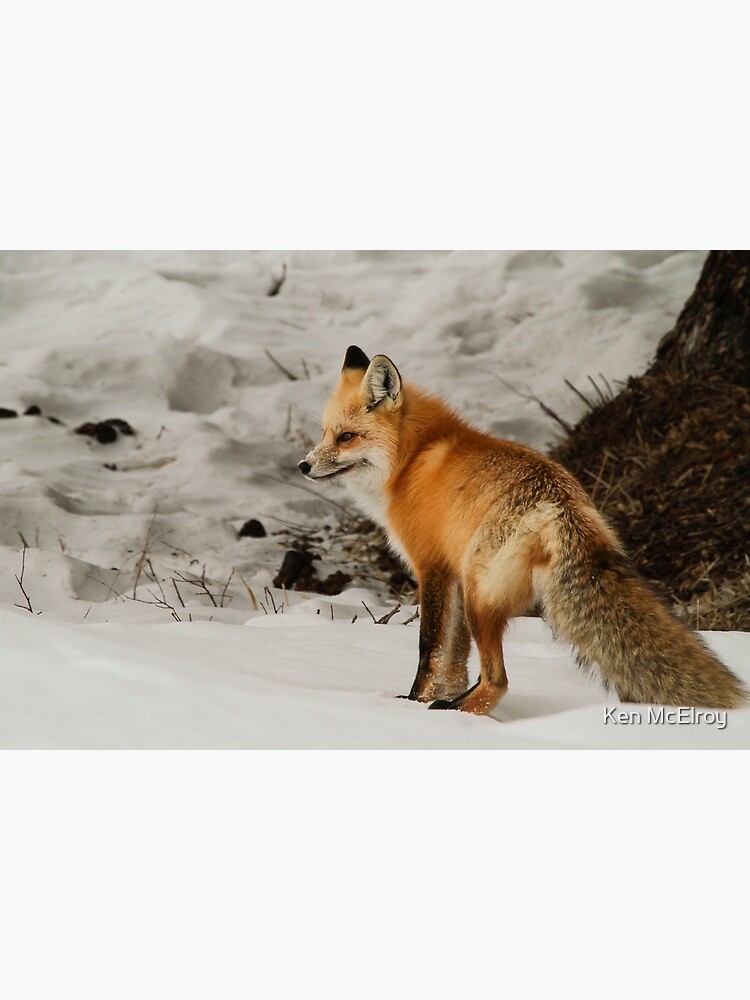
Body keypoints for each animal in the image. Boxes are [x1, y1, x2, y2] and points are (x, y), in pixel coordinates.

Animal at [298, 345, 746, 715]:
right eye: (324, 433)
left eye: (346, 436)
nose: (303, 465)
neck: (413, 458)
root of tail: (561, 505)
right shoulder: (452, 574)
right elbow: (454, 659)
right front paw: (434, 697)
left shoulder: (433, 569)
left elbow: (429, 648)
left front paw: (412, 703)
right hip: (478, 591)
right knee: (487, 673)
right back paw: (455, 705)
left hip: (480, 596)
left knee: (499, 680)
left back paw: (458, 713)